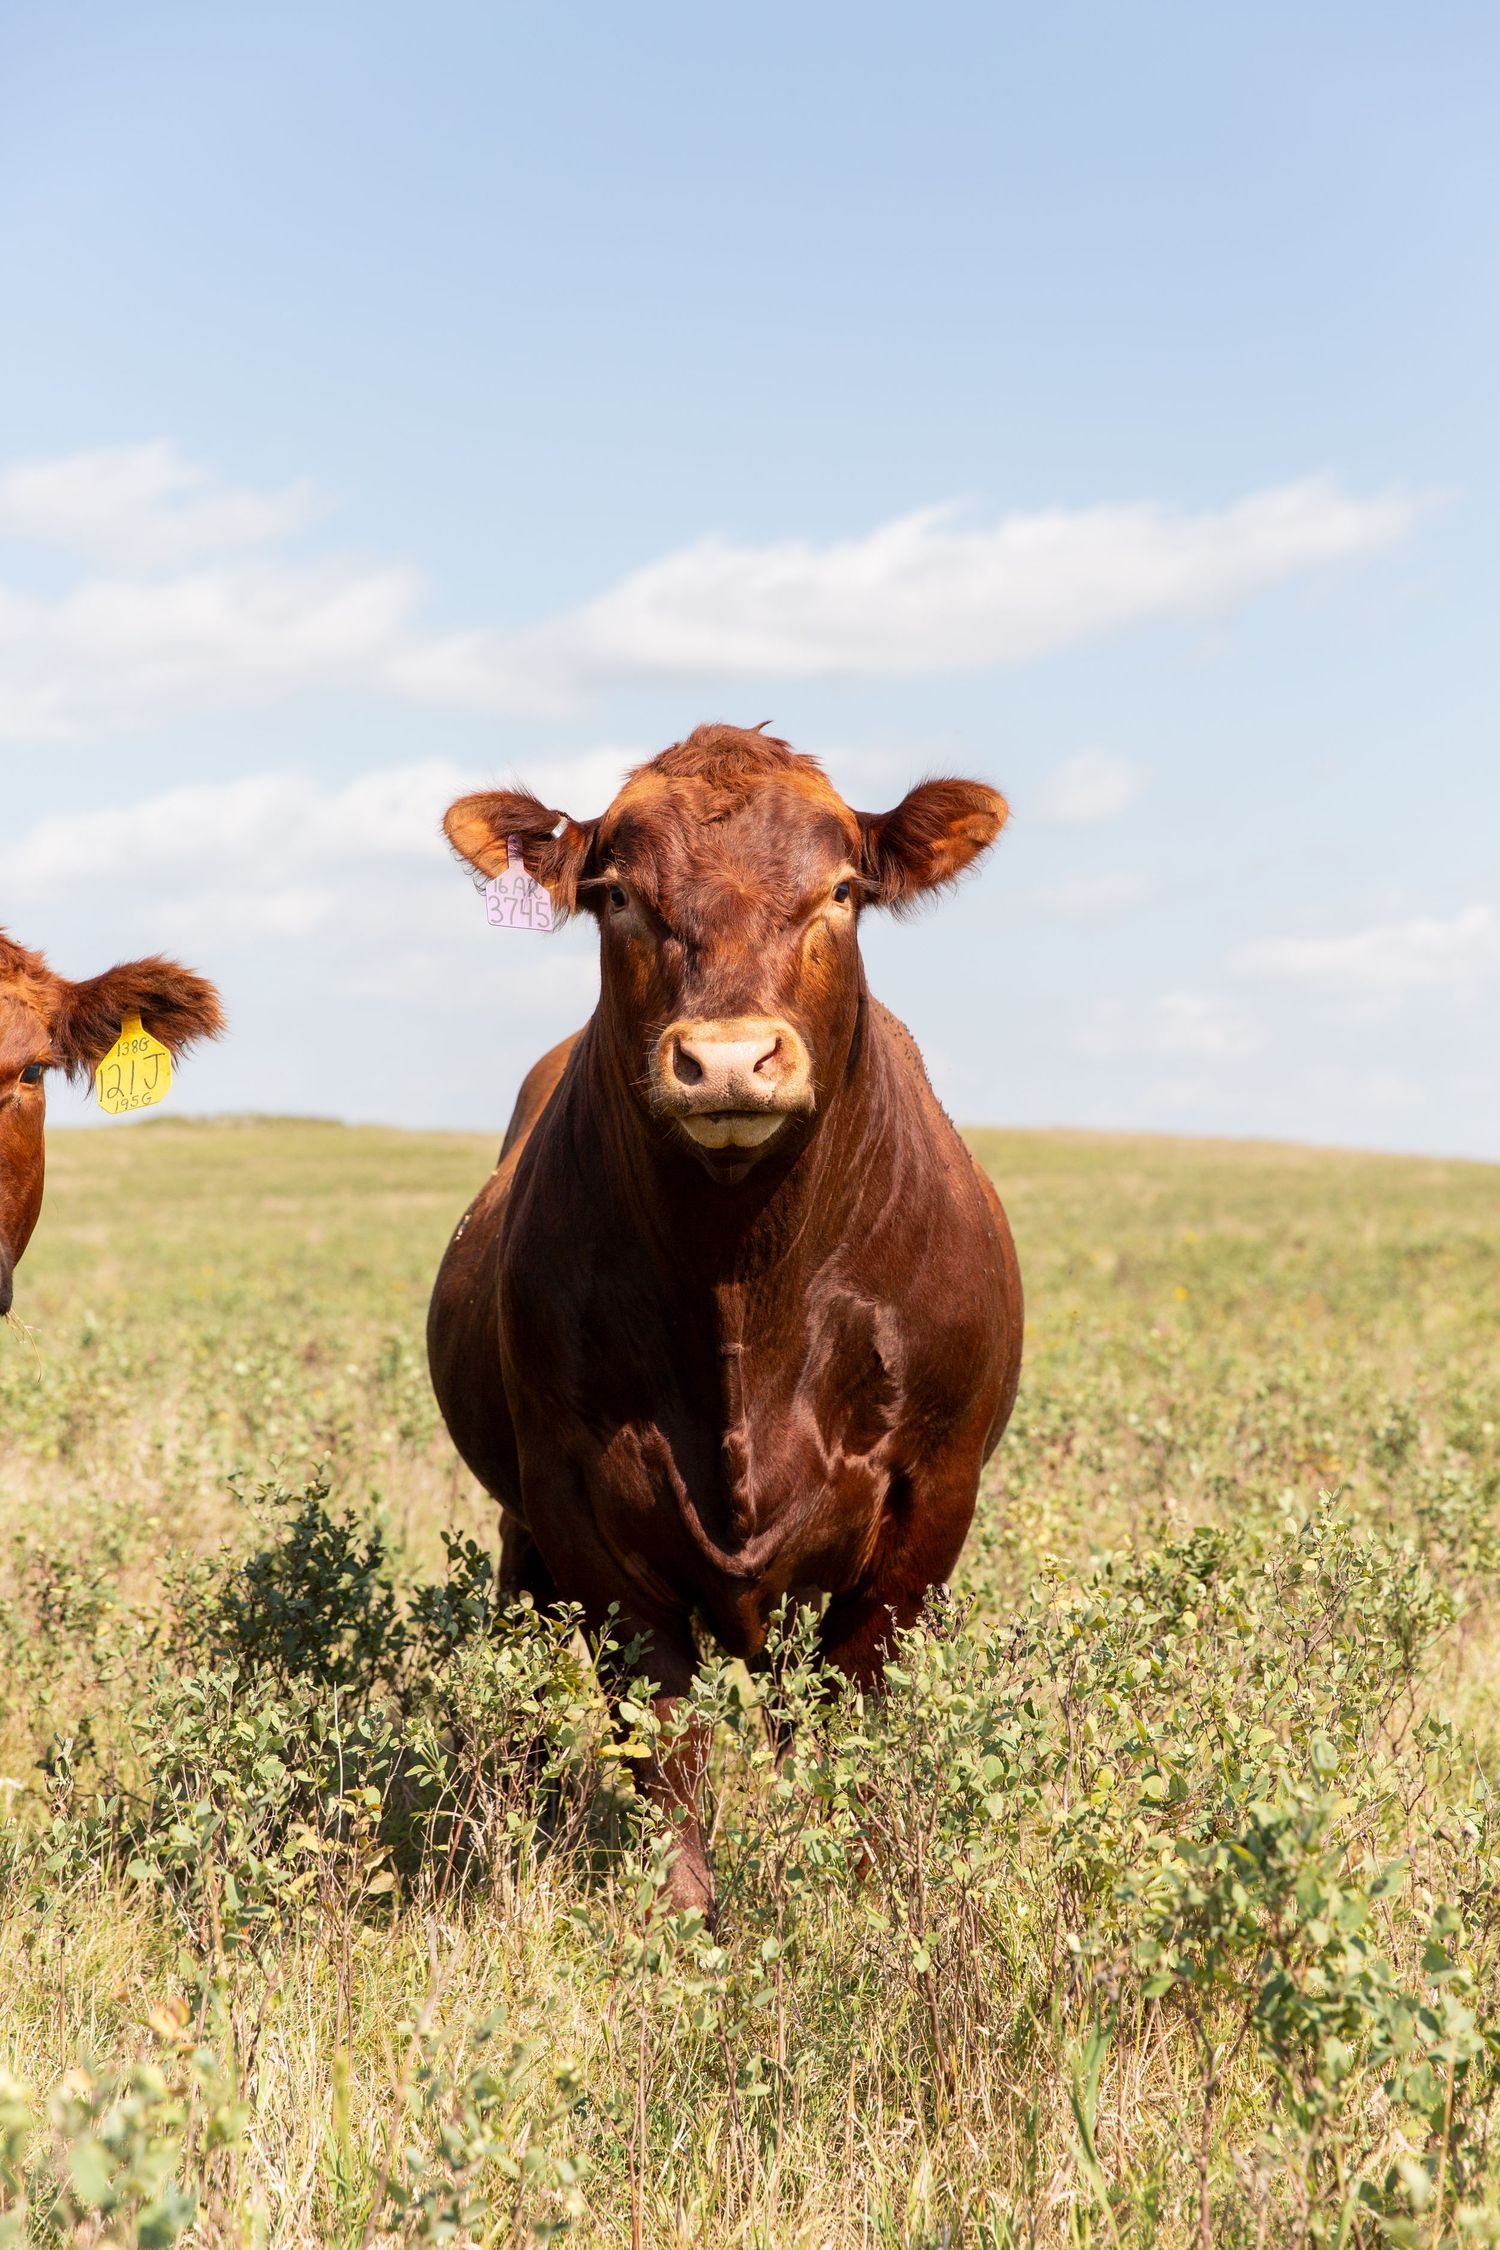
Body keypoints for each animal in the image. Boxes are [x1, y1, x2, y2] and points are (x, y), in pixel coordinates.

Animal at [429, 724, 1023, 1908]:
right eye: (618, 894)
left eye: (841, 891)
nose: (731, 1062)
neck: (747, 1287)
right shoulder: (581, 1503)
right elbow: (662, 1731)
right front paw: (688, 1909)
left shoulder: (931, 1499)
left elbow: (852, 1711)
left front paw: (849, 1882)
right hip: (522, 1523)